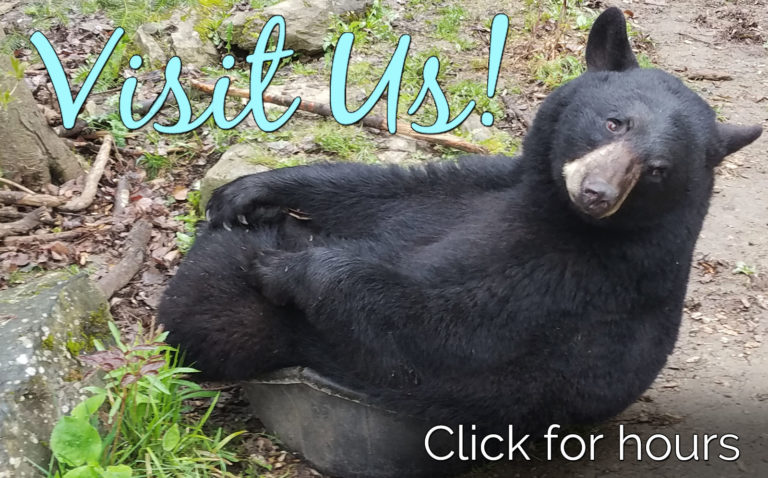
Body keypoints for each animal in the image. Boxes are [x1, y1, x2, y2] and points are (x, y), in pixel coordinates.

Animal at [158, 7, 761, 436]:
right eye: (615, 122)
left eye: (659, 170)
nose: (596, 193)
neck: (554, 210)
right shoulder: (494, 184)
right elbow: (401, 194)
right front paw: (248, 192)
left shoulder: (582, 277)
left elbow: (447, 324)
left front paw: (287, 266)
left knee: (215, 299)